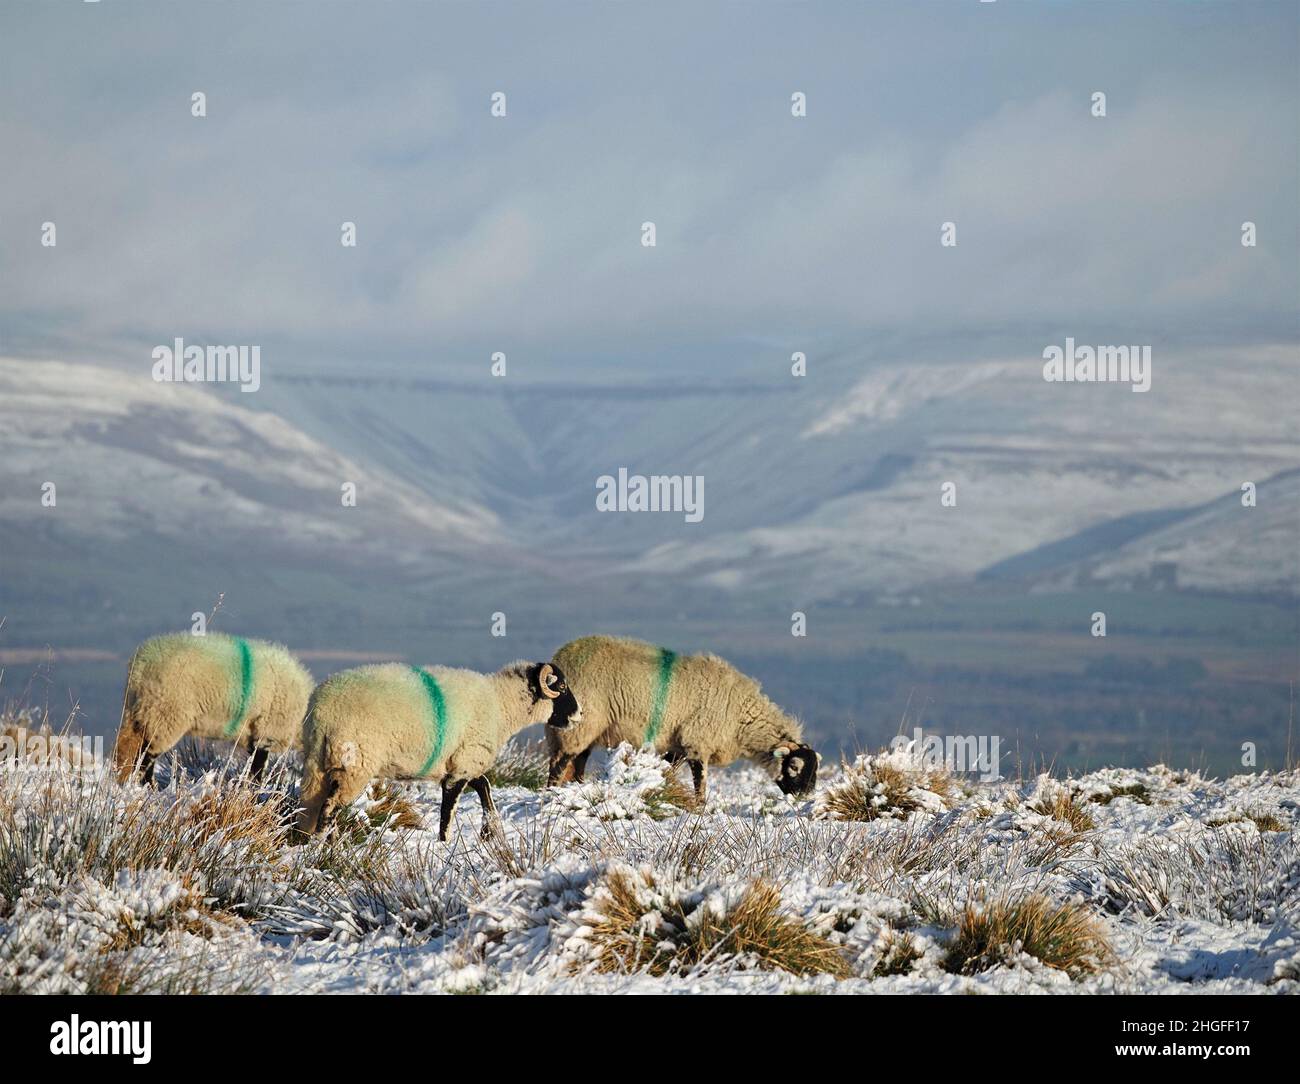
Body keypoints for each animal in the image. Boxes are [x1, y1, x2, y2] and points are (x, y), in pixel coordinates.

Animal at [113, 632, 313, 784]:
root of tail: (140, 664)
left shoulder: (254, 735)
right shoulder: (268, 731)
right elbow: (258, 766)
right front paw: (255, 788)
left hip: (138, 711)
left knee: (125, 747)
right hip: (165, 714)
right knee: (146, 757)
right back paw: (148, 787)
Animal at [295, 660, 580, 840]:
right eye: (562, 687)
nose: (580, 714)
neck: (502, 705)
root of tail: (322, 711)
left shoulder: (462, 762)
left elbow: (484, 786)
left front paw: (490, 831)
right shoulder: (464, 763)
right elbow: (449, 810)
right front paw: (446, 843)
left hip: (317, 762)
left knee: (312, 803)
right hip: (354, 764)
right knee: (330, 808)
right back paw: (325, 844)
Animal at [545, 635, 817, 804]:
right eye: (794, 767)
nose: (806, 799)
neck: (741, 719)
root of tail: (561, 657)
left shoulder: (678, 747)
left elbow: (667, 772)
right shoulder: (697, 742)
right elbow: (700, 782)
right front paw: (700, 809)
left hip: (588, 730)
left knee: (578, 761)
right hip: (576, 727)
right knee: (559, 765)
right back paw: (552, 793)